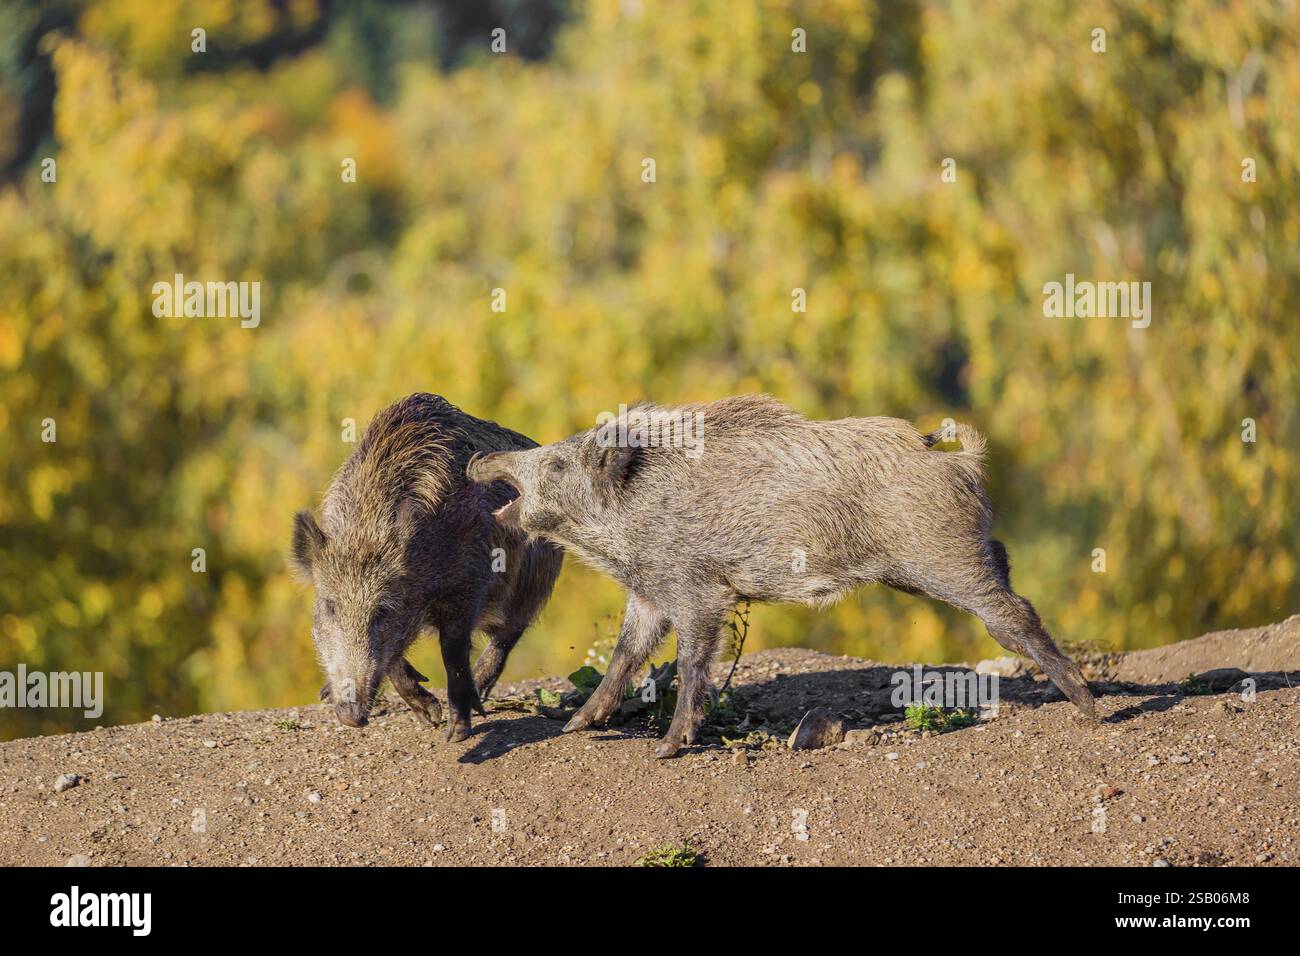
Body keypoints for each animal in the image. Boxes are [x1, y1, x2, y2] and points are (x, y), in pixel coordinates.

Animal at [291, 393, 562, 741]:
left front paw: (454, 731)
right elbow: (395, 658)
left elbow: (453, 652)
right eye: (329, 606)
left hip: (535, 581)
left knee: (506, 637)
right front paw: (429, 715)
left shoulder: (469, 583)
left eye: (383, 610)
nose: (351, 717)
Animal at [468, 395, 1096, 758]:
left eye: (557, 463)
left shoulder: (698, 591)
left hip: (942, 558)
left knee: (1013, 615)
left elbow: (692, 663)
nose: (480, 460)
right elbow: (625, 655)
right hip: (930, 564)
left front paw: (666, 751)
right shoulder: (648, 595)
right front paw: (575, 726)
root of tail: (960, 462)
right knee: (1005, 564)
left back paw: (1089, 705)